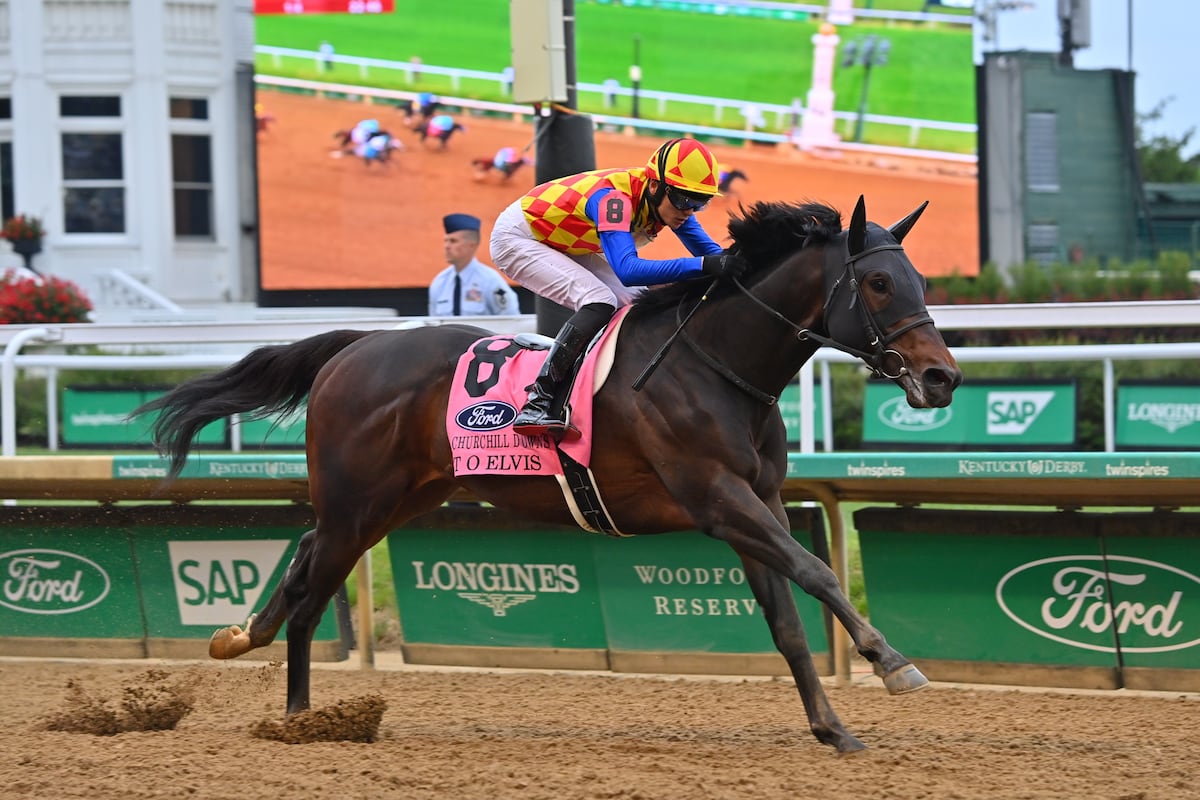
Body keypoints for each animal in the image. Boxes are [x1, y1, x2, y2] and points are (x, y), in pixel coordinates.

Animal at [135, 195, 962, 752]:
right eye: (880, 285)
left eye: (919, 279)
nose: (942, 377)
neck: (717, 364)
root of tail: (353, 347)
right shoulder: (719, 499)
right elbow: (818, 575)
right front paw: (894, 663)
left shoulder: (754, 506)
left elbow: (789, 621)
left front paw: (833, 729)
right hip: (356, 502)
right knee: (312, 593)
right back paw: (299, 718)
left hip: (395, 500)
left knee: (307, 560)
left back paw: (252, 647)